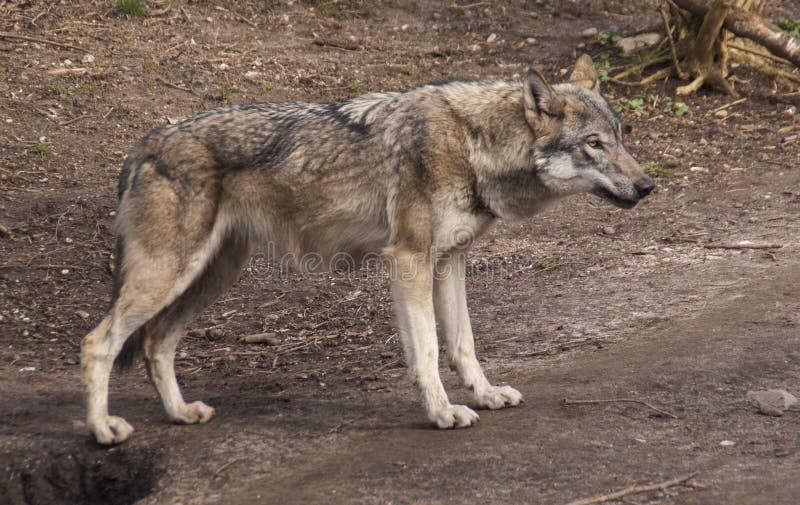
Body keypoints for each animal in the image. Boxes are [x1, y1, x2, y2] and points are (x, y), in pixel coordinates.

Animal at [80, 55, 654, 445]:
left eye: (622, 137)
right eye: (594, 144)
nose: (648, 186)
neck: (474, 144)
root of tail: (144, 144)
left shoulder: (449, 262)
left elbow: (463, 344)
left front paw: (485, 395)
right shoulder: (409, 260)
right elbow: (427, 350)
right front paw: (442, 413)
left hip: (212, 276)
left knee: (156, 344)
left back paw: (180, 414)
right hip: (169, 275)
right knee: (98, 343)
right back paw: (104, 429)